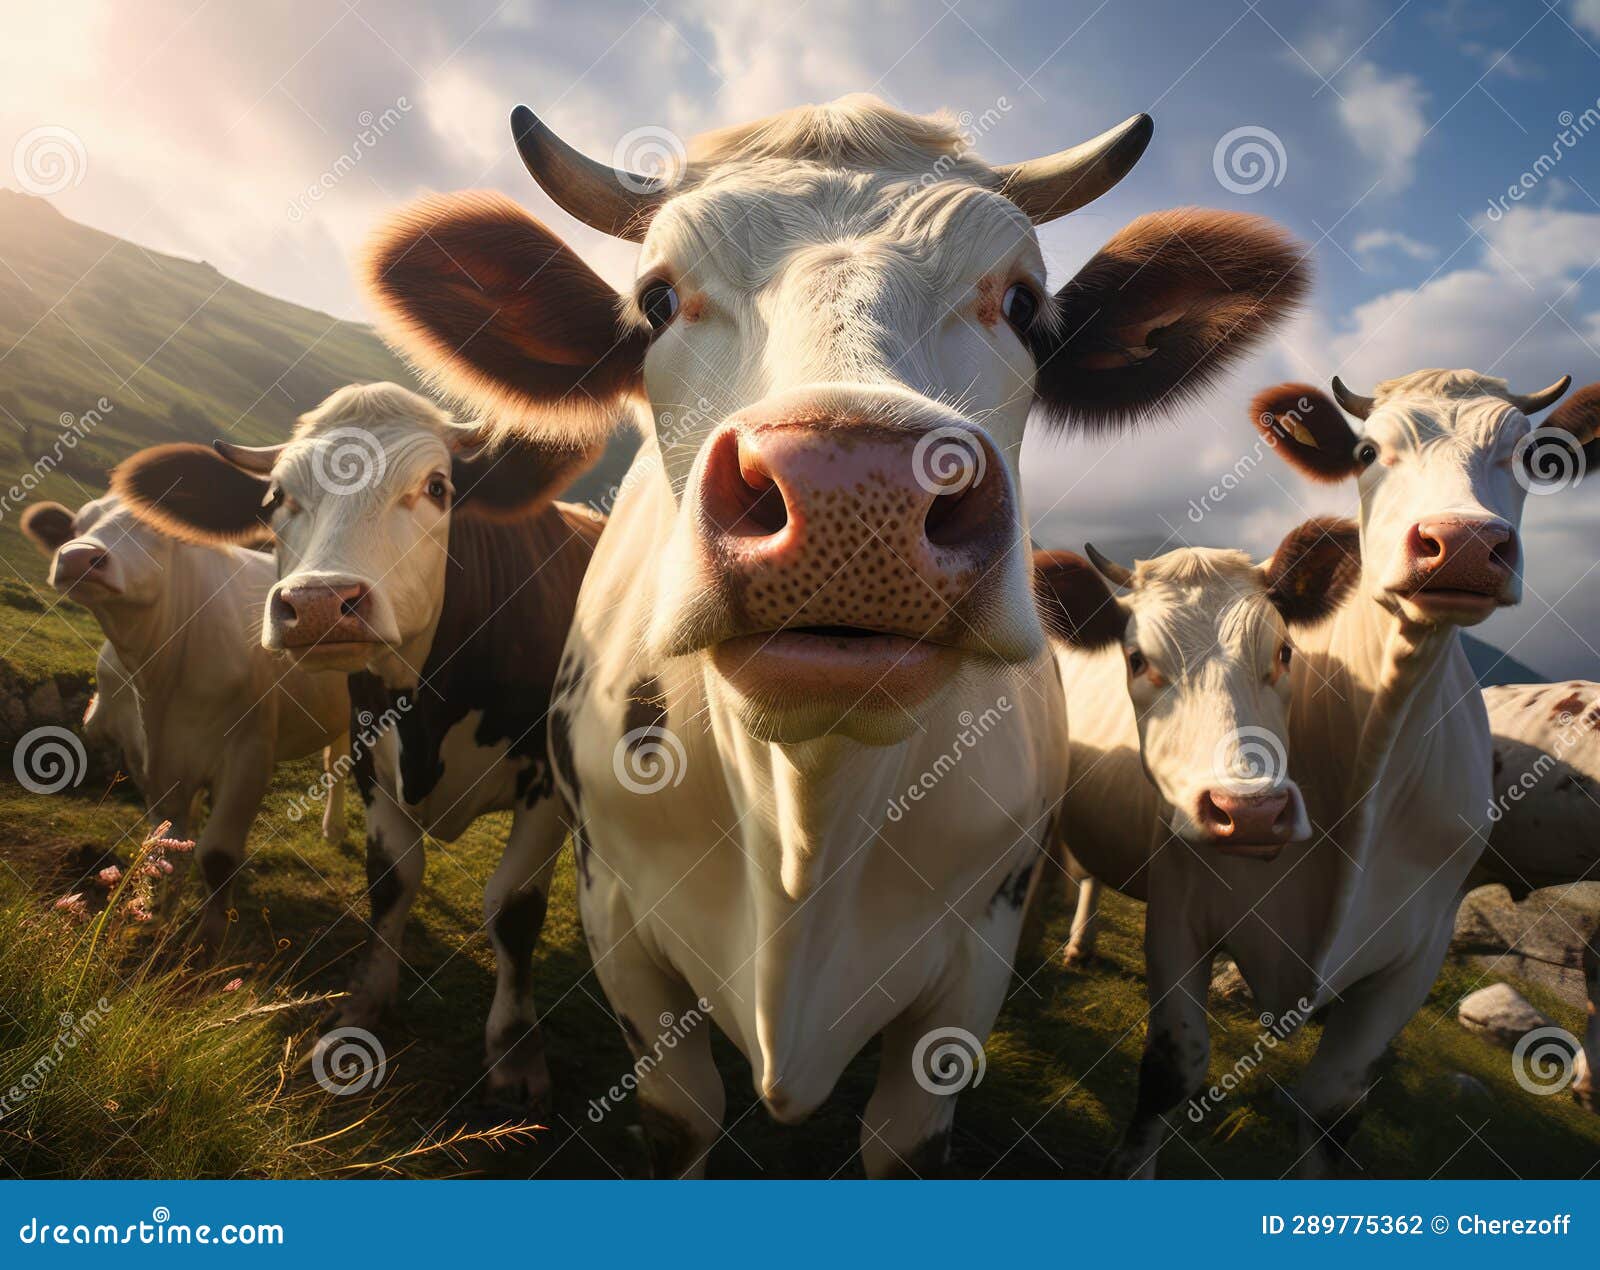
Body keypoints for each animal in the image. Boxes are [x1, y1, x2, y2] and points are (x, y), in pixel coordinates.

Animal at [20, 493, 350, 944]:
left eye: (156, 527)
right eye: (76, 527)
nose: (76, 556)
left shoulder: (249, 755)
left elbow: (216, 855)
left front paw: (207, 943)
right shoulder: (149, 759)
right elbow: (169, 846)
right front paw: (158, 919)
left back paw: (334, 828)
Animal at [111, 382, 602, 1108]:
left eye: (436, 487)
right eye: (274, 500)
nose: (318, 603)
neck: (433, 706)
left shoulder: (546, 785)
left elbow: (513, 910)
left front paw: (515, 1053)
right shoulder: (374, 763)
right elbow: (391, 882)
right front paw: (364, 1008)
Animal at [350, 93, 1309, 1175]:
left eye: (1023, 304)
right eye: (655, 300)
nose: (857, 488)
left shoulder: (971, 961)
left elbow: (904, 1141)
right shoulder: (618, 920)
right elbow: (682, 1115)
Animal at [1042, 369, 1599, 1175]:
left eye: (1531, 458)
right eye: (1367, 451)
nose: (1463, 544)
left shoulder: (1415, 954)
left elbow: (1332, 1108)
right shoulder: (1179, 909)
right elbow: (1170, 1072)